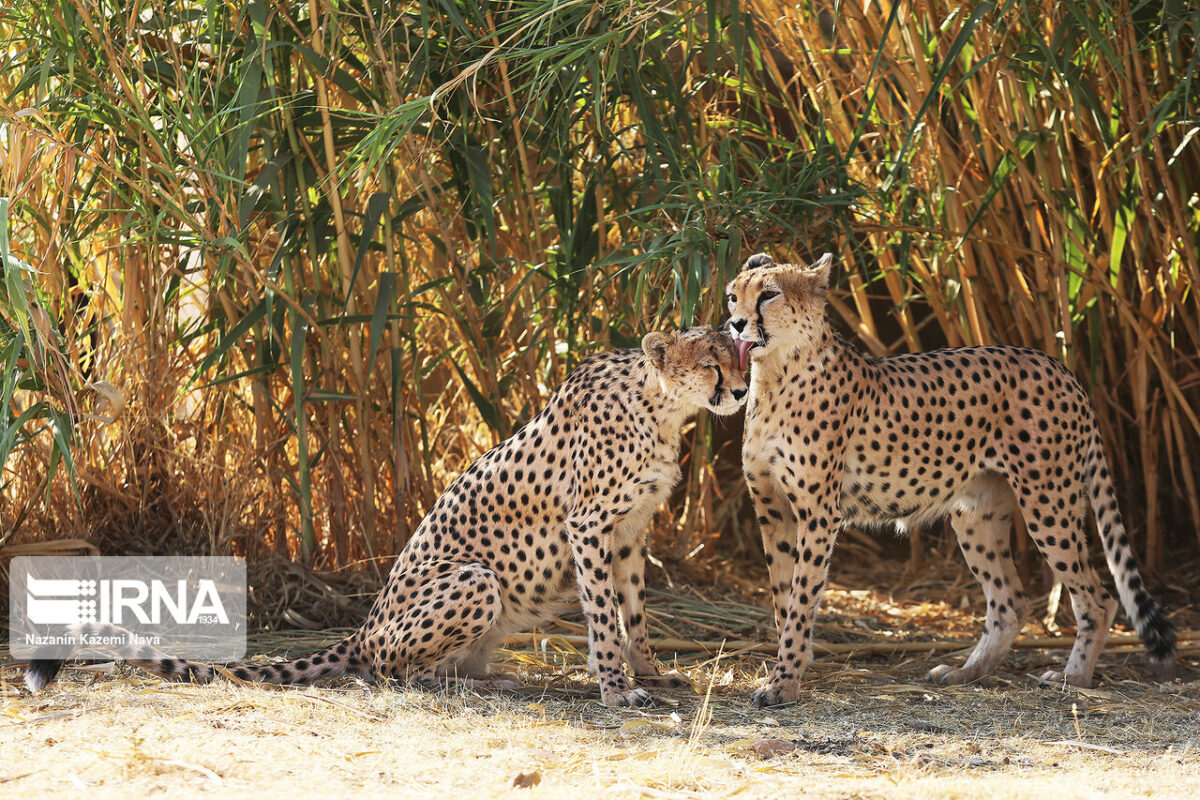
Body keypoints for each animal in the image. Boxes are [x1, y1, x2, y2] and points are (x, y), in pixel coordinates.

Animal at [25, 327, 749, 708]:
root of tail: (363, 625)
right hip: (474, 580)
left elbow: (634, 613)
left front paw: (650, 673)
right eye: (714, 361)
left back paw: (487, 673)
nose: (743, 391)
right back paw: (452, 679)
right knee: (387, 670)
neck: (661, 406)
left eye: (743, 354)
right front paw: (617, 688)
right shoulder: (589, 526)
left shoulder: (629, 533)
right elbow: (602, 614)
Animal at [724, 251, 1176, 707]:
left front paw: (784, 682)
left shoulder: (819, 515)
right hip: (975, 515)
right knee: (1010, 603)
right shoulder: (773, 511)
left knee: (1099, 599)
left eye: (768, 294)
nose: (736, 324)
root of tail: (1058, 366)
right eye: (732, 296)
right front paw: (789, 668)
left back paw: (1074, 677)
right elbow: (783, 598)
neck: (776, 373)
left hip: (1047, 502)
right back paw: (966, 672)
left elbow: (801, 598)